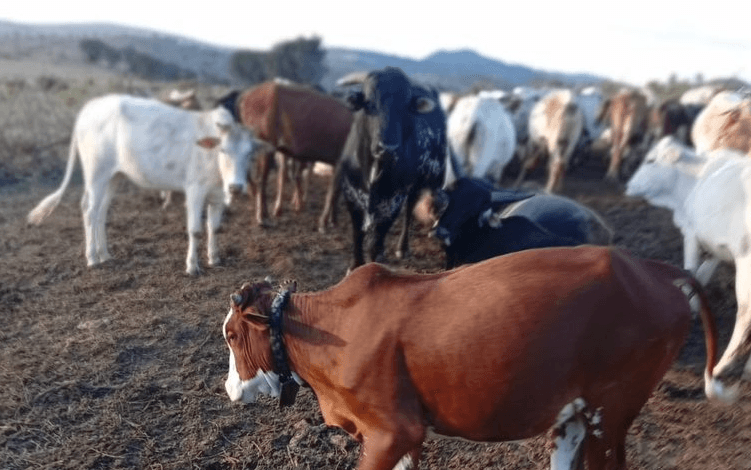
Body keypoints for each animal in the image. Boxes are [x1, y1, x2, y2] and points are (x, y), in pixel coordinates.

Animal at [27, 94, 258, 275]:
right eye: (223, 150)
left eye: (250, 154)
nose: (236, 187)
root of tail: (91, 107)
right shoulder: (195, 189)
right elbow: (195, 230)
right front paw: (192, 266)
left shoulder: (217, 195)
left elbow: (215, 228)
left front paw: (215, 258)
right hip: (96, 173)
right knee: (89, 210)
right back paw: (92, 258)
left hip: (114, 177)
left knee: (101, 212)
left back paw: (105, 255)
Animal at [218, 81, 353, 230]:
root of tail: (245, 95)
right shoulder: (340, 162)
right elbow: (332, 192)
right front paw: (324, 222)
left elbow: (337, 192)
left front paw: (333, 220)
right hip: (266, 147)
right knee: (261, 180)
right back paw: (262, 216)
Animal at [223, 245, 726, 470]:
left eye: (229, 335)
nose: (227, 388)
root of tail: (651, 269)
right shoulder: (399, 435)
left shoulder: (393, 429)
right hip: (575, 414)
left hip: (613, 408)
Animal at [333, 67, 447, 270]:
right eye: (369, 103)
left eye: (406, 108)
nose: (388, 148)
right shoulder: (351, 195)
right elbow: (357, 234)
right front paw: (355, 265)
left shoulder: (393, 200)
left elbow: (377, 238)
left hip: (424, 182)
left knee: (410, 210)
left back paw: (402, 248)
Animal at [626, 136, 751, 395]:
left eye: (650, 160)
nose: (628, 185)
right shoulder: (714, 248)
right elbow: (700, 277)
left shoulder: (691, 235)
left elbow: (691, 273)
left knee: (746, 312)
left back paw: (723, 366)